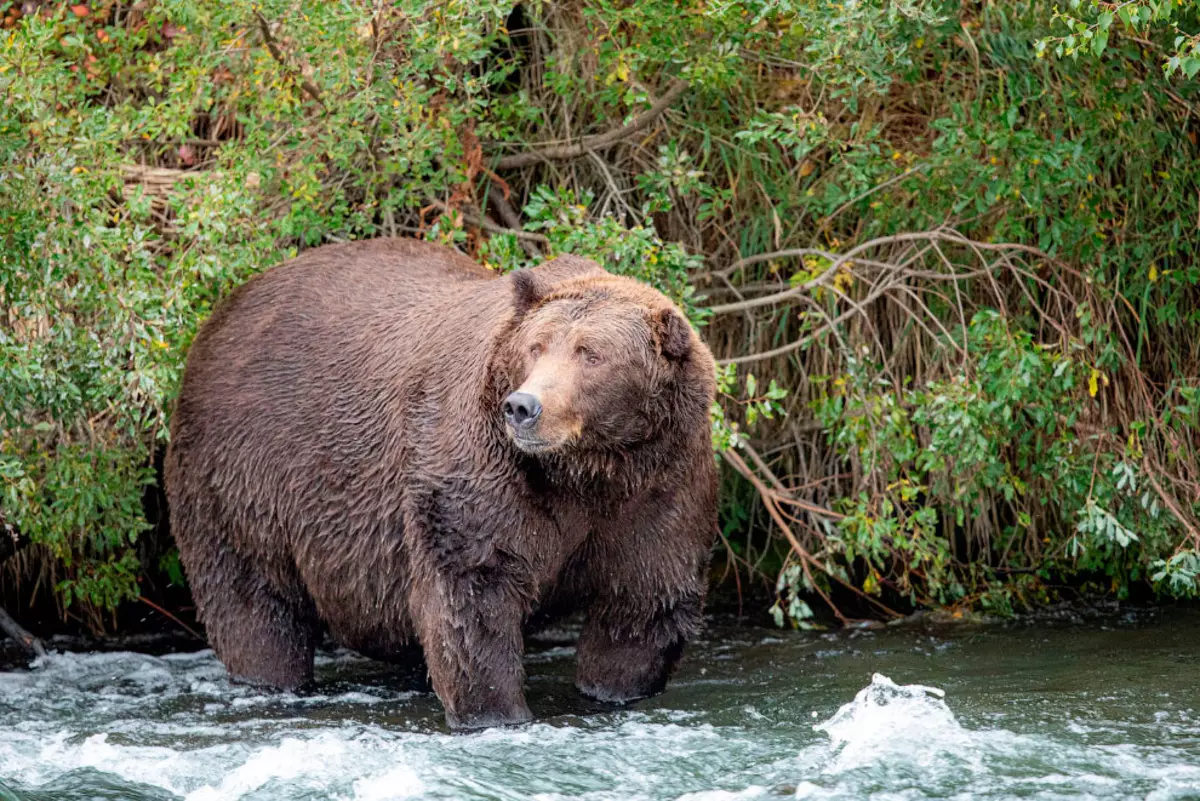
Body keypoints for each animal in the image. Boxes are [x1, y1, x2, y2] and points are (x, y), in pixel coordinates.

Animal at [165, 237, 715, 733]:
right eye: (536, 346)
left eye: (592, 353)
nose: (524, 407)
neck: (589, 471)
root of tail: (223, 312)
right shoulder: (484, 471)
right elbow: (473, 594)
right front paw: (497, 714)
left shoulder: (661, 487)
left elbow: (642, 603)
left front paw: (612, 690)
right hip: (243, 473)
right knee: (253, 601)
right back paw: (271, 678)